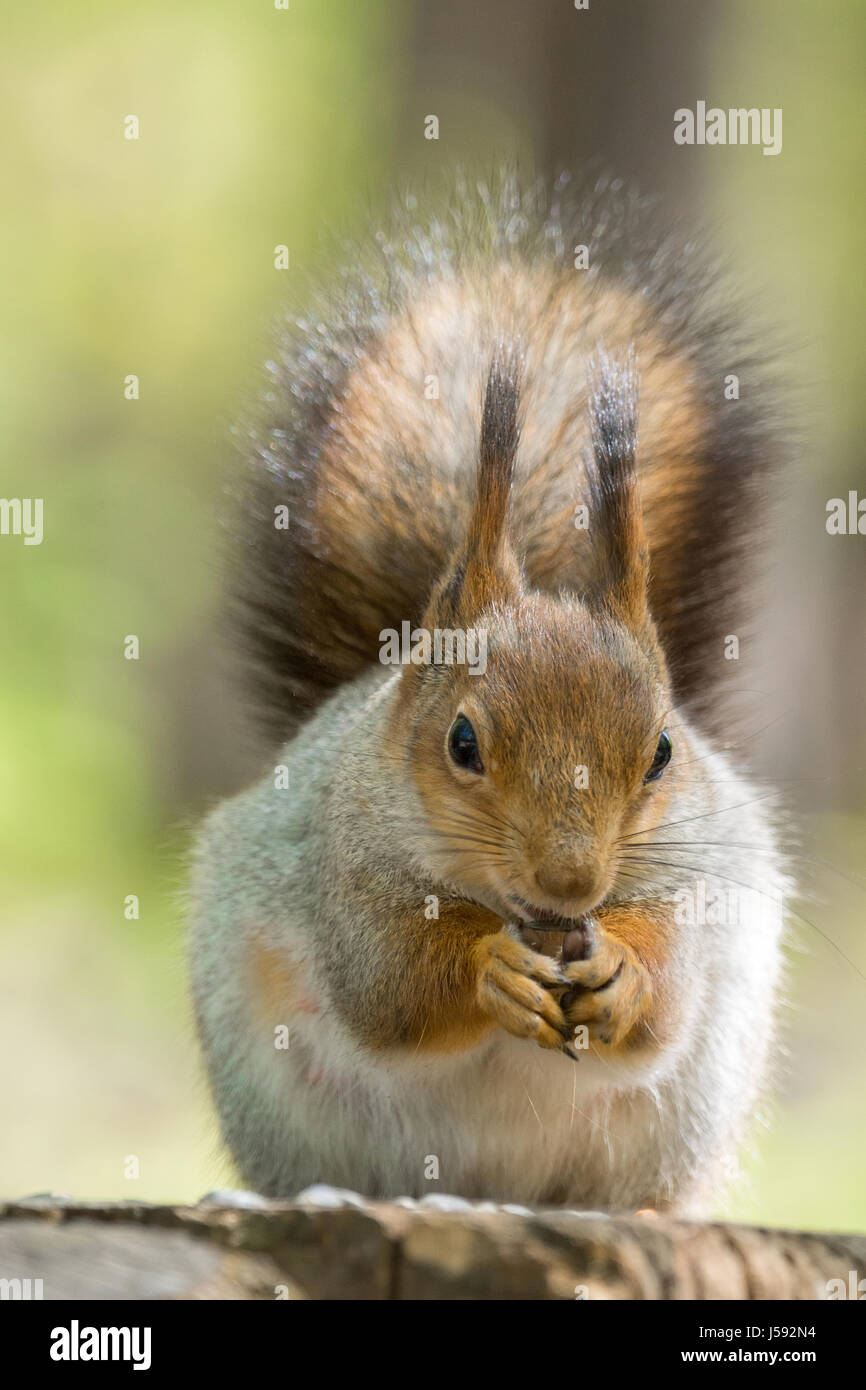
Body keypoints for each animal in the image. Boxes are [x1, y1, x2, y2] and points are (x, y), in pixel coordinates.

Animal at [189, 172, 787, 1213]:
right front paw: (489, 968)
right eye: (462, 743)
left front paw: (625, 972)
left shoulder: (695, 879)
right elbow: (388, 984)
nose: (572, 883)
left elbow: (667, 995)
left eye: (664, 750)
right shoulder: (339, 869)